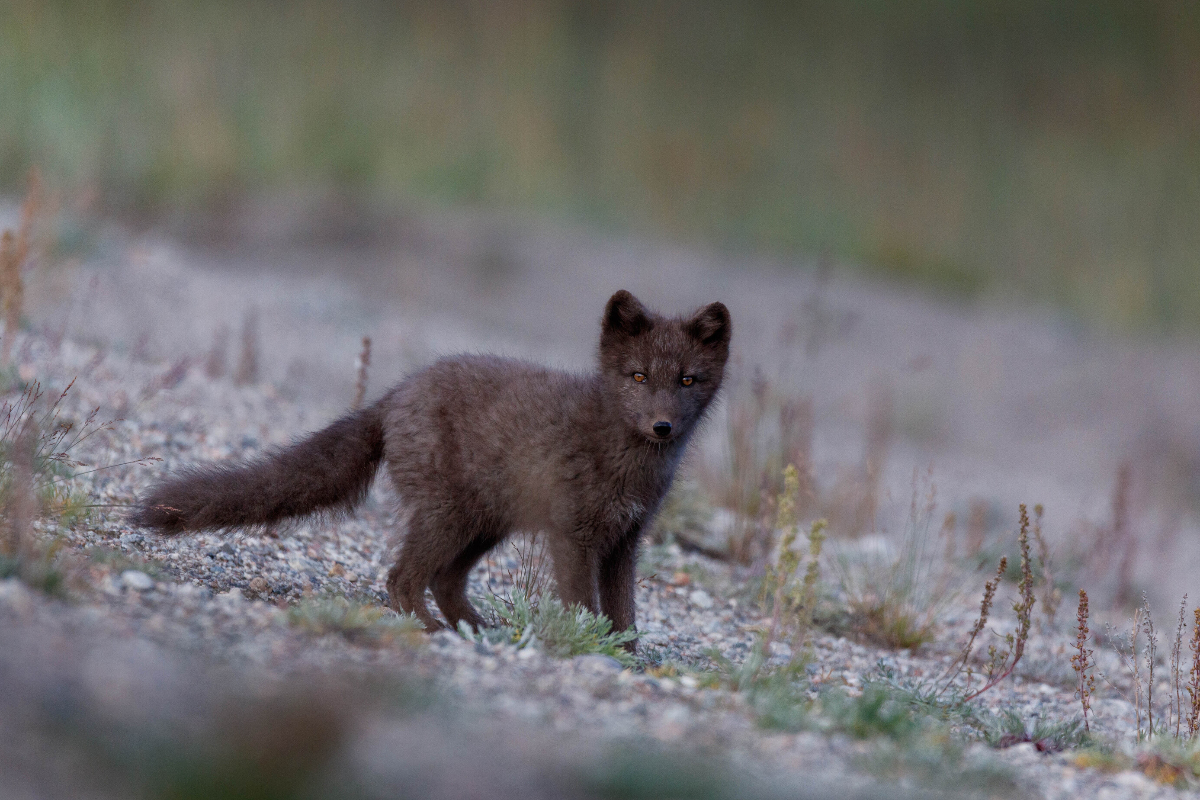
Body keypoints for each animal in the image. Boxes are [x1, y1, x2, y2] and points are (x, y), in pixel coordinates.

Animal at [132, 290, 731, 640]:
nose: (662, 426)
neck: (630, 463)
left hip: (483, 524)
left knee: (442, 580)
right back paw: (430, 629)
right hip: (450, 516)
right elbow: (584, 603)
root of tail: (395, 394)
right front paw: (586, 647)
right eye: (637, 376)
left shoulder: (626, 538)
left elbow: (624, 610)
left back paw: (478, 631)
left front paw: (626, 654)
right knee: (402, 577)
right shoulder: (574, 534)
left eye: (687, 380)